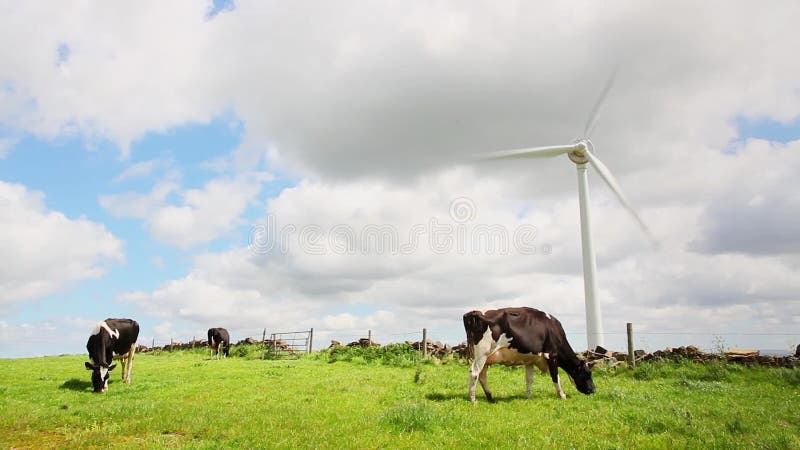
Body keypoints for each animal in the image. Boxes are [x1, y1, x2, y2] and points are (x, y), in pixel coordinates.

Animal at [463, 307, 595, 402]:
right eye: (587, 374)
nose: (594, 390)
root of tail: (474, 312)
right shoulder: (552, 355)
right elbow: (555, 377)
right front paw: (562, 395)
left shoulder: (530, 360)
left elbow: (529, 379)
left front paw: (527, 396)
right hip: (482, 353)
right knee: (474, 372)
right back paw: (473, 399)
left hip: (486, 357)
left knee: (482, 375)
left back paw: (490, 397)